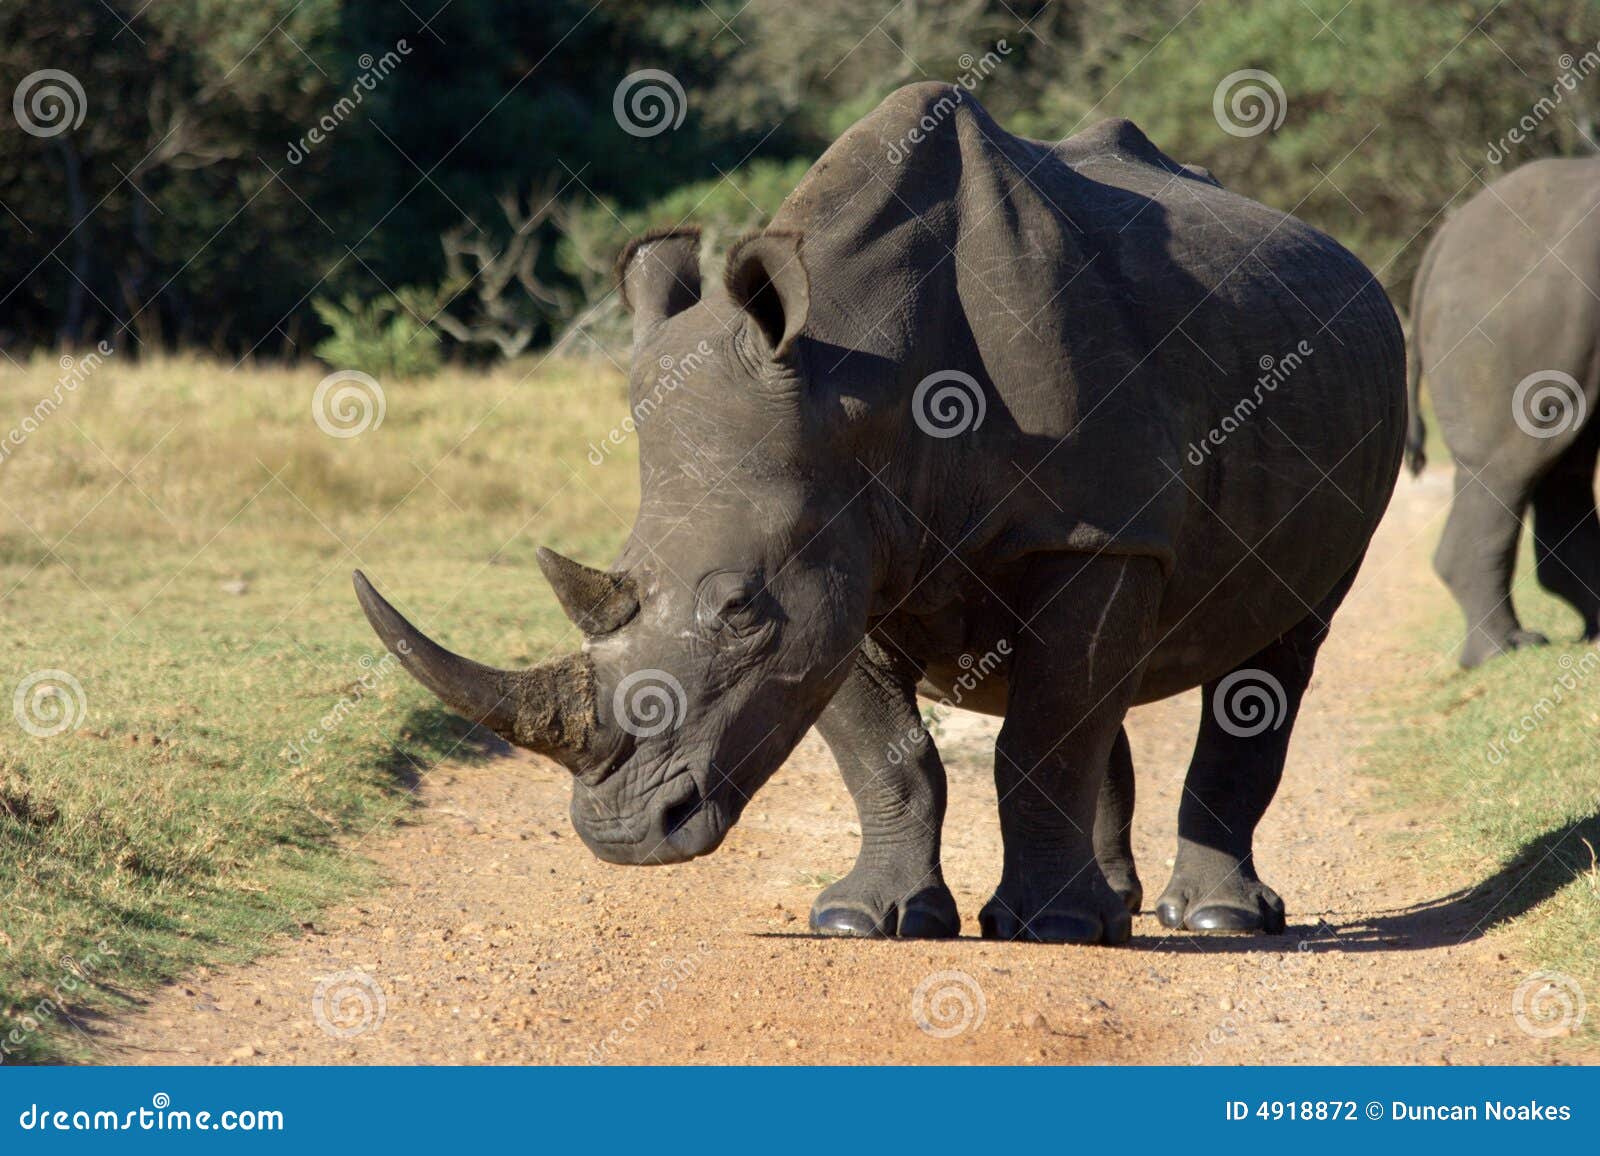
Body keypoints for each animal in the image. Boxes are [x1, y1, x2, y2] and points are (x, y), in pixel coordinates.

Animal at [355, 84, 1404, 944]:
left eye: (739, 610)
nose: (623, 835)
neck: (868, 389)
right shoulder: (843, 544)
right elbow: (893, 751)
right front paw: (867, 920)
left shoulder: (1089, 532)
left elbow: (1041, 736)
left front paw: (1053, 932)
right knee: (1108, 680)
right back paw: (1120, 905)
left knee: (1277, 647)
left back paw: (1215, 920)